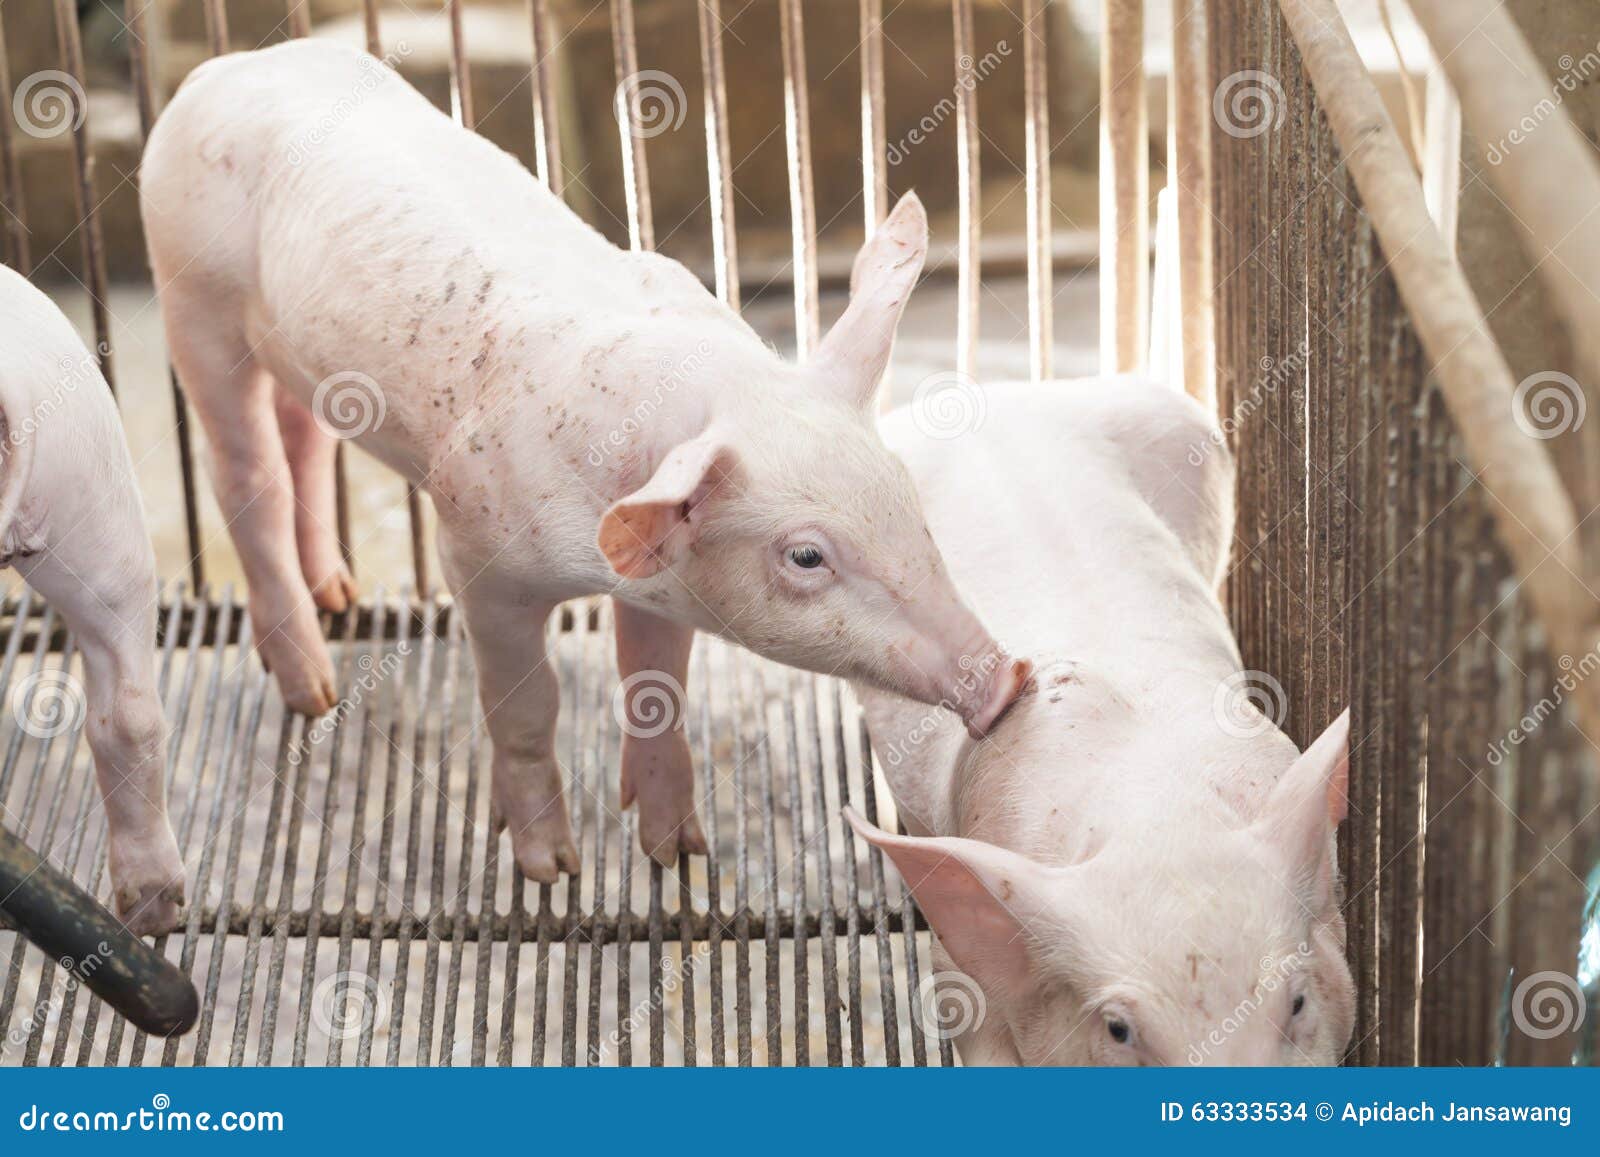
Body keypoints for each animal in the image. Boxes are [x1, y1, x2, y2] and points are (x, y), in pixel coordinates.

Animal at [139, 40, 1029, 879]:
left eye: (906, 495)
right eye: (806, 556)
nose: (1006, 676)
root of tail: (222, 69)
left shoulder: (656, 573)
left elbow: (656, 684)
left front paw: (677, 852)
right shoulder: (473, 550)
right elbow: (528, 704)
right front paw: (553, 868)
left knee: (307, 441)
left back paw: (339, 593)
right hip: (193, 296)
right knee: (243, 470)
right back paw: (313, 686)